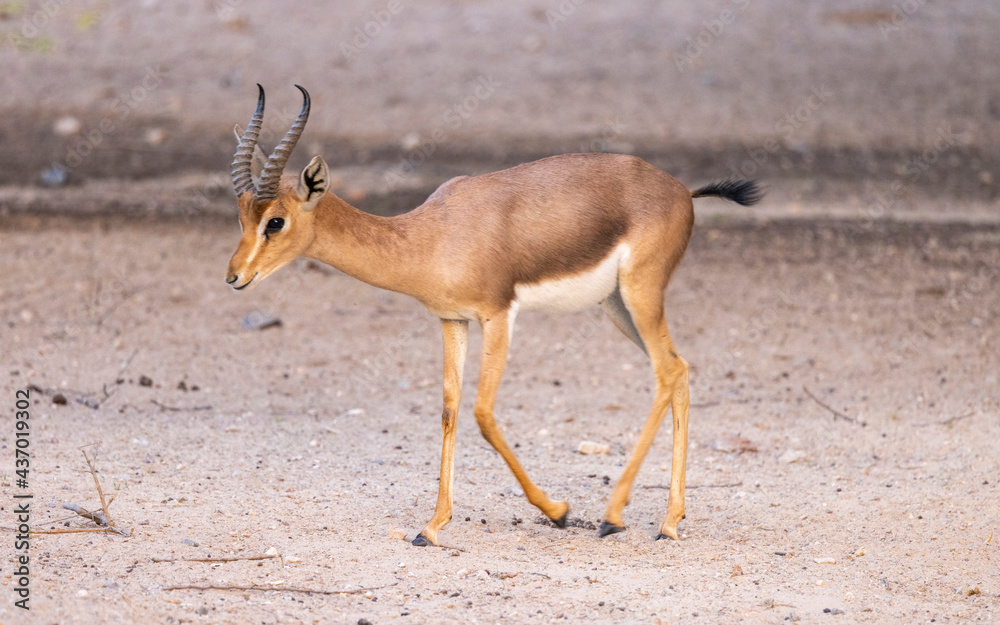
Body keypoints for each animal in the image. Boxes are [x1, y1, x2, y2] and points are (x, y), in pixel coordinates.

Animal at [226, 85, 762, 546]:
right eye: (242, 216)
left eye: (276, 221)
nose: (234, 276)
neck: (431, 236)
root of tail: (681, 191)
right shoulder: (452, 320)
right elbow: (450, 409)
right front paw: (432, 527)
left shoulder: (499, 316)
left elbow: (483, 413)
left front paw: (558, 512)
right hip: (617, 307)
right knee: (680, 369)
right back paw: (670, 521)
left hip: (641, 293)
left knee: (667, 370)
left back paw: (613, 518)